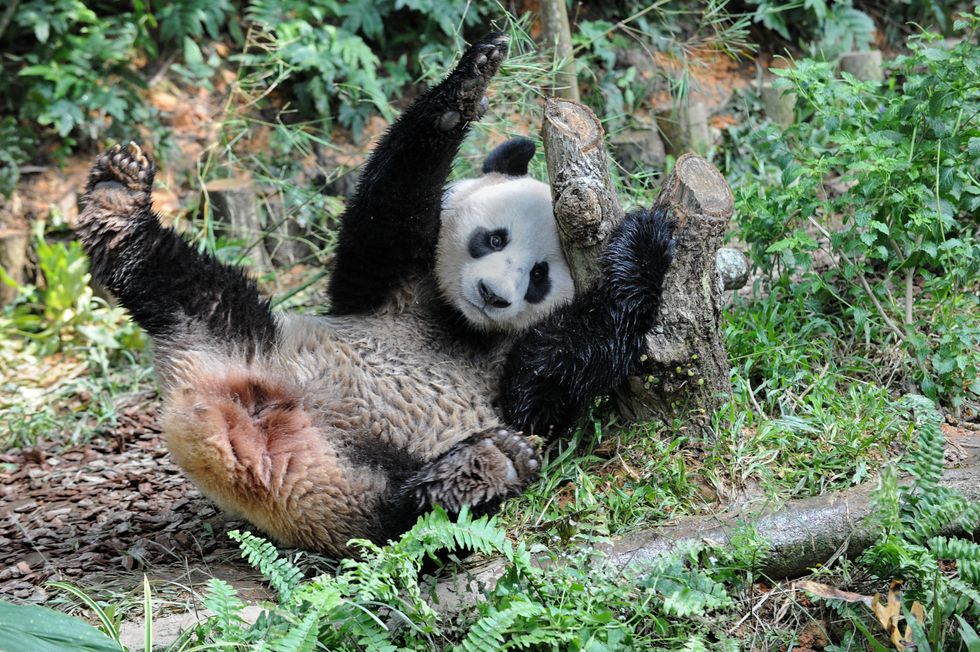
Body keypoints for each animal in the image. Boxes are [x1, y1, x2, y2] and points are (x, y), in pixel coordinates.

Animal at [76, 33, 675, 557]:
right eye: (494, 238)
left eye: (539, 276)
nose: (492, 294)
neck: (458, 323)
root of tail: (259, 456)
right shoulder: (390, 288)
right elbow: (388, 208)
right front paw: (471, 79)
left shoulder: (519, 384)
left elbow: (551, 373)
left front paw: (648, 240)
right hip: (254, 339)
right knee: (184, 287)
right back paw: (117, 203)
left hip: (365, 491)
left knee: (411, 514)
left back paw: (480, 469)